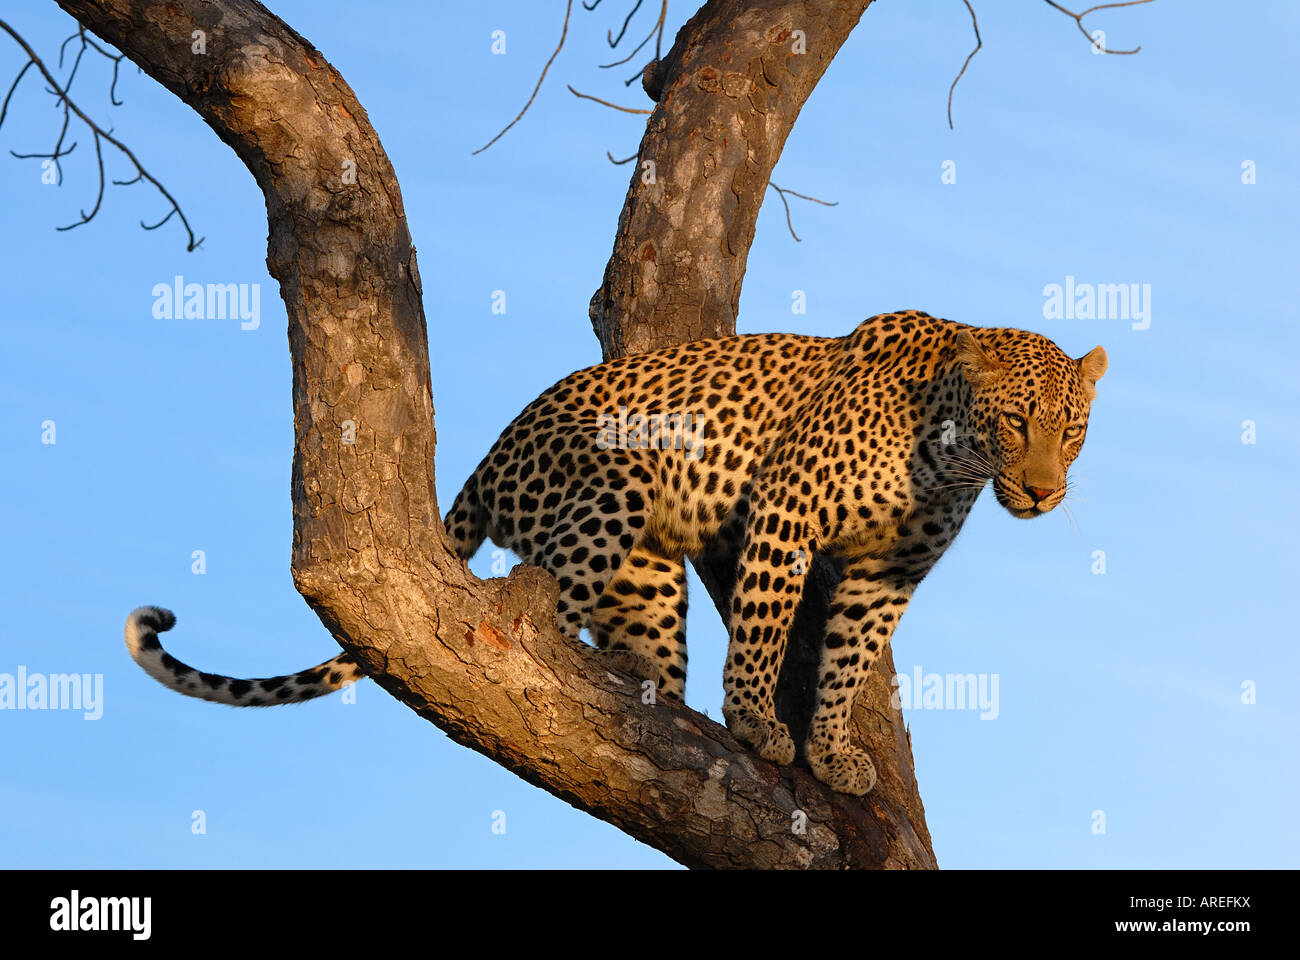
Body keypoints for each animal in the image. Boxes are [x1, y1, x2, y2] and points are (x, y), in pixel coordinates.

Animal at [124, 310, 1105, 797]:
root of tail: (493, 455)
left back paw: (646, 698)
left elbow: (847, 663)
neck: (948, 456)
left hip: (648, 575)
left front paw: (832, 751)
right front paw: (759, 721)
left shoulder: (884, 574)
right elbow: (765, 632)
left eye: (1073, 431)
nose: (1045, 492)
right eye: (1018, 422)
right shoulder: (786, 514)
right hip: (613, 481)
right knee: (531, 623)